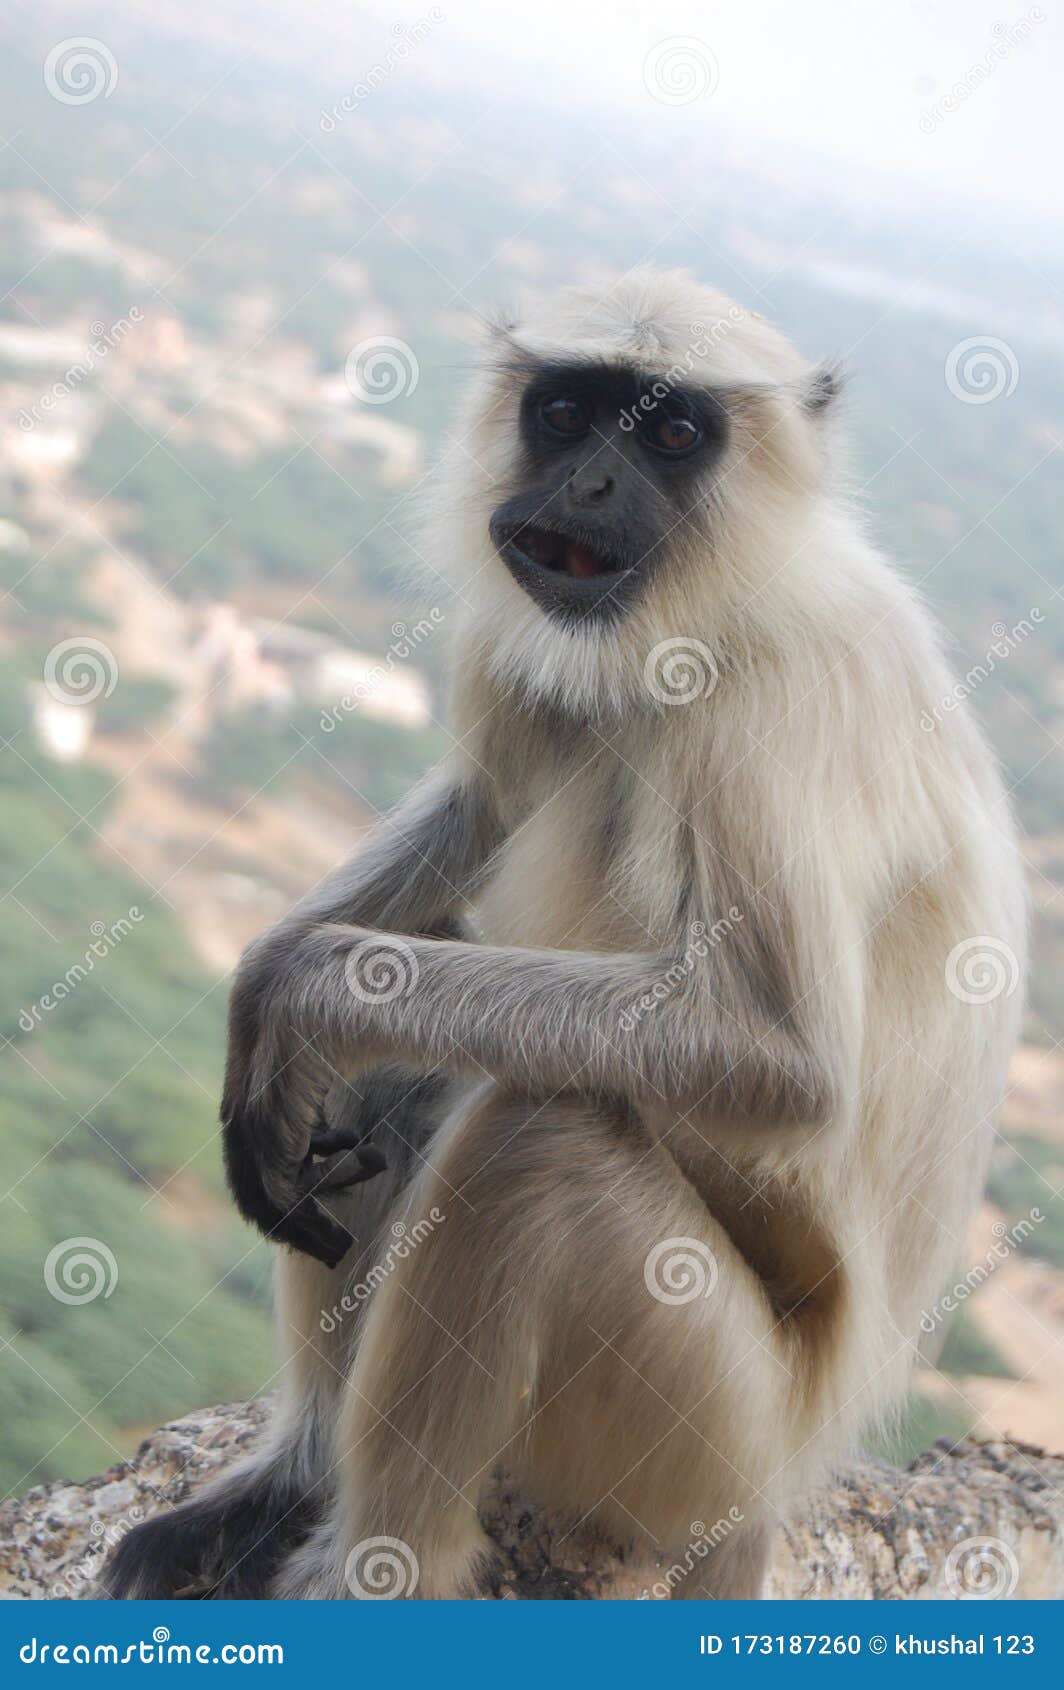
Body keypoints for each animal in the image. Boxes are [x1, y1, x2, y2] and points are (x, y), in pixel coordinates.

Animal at [100, 268, 1025, 1601]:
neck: (722, 590)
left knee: (536, 1144)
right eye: (565, 413)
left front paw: (299, 987)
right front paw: (267, 980)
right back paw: (293, 1474)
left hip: (700, 1434)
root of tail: (782, 1482)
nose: (587, 487)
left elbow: (783, 1060)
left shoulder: (777, 706)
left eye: (671, 431)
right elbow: (485, 806)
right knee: (392, 1066)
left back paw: (378, 1562)